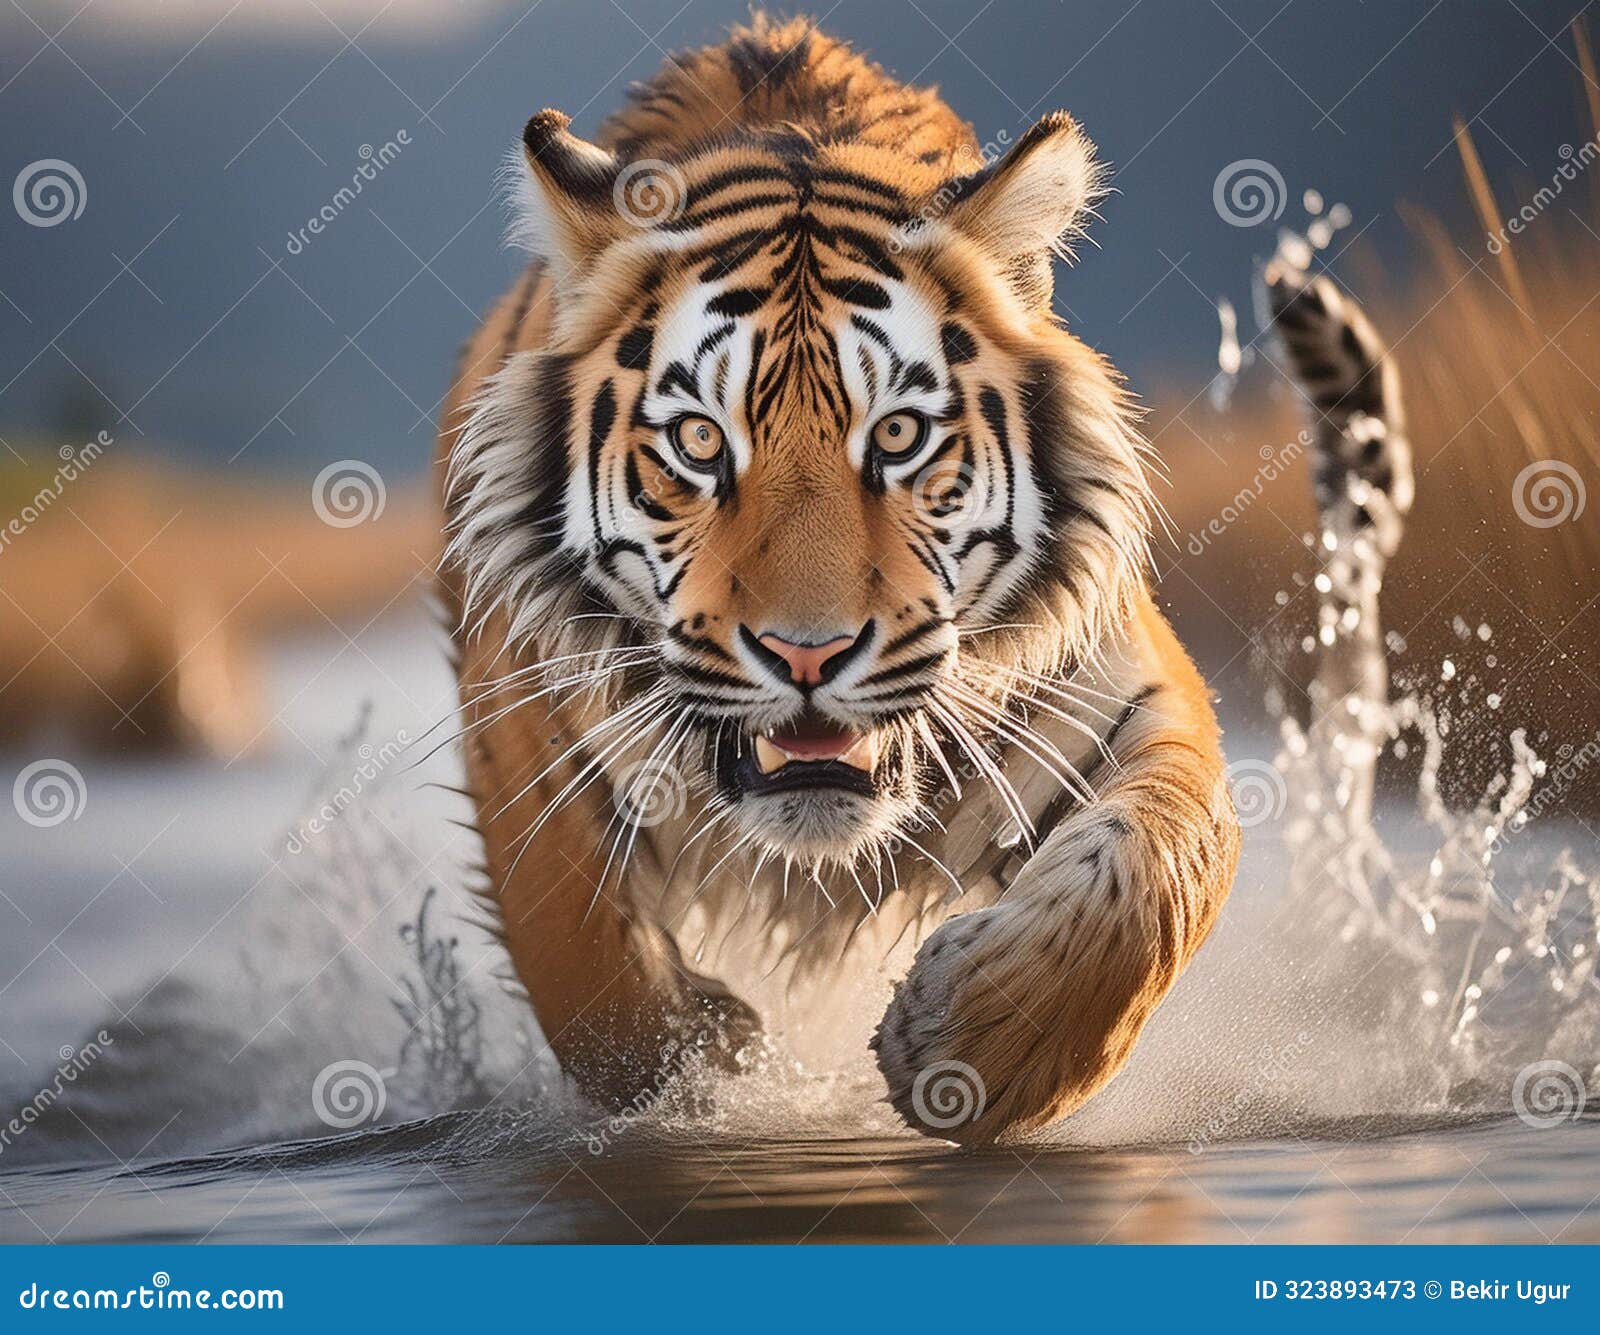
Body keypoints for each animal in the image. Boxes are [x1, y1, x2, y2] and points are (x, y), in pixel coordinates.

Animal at [436, 15, 1248, 1145]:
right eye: (698, 441)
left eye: (898, 435)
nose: (807, 653)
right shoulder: (524, 727)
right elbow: (587, 969)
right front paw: (710, 1065)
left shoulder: (1110, 686)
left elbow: (1157, 863)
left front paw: (969, 1047)